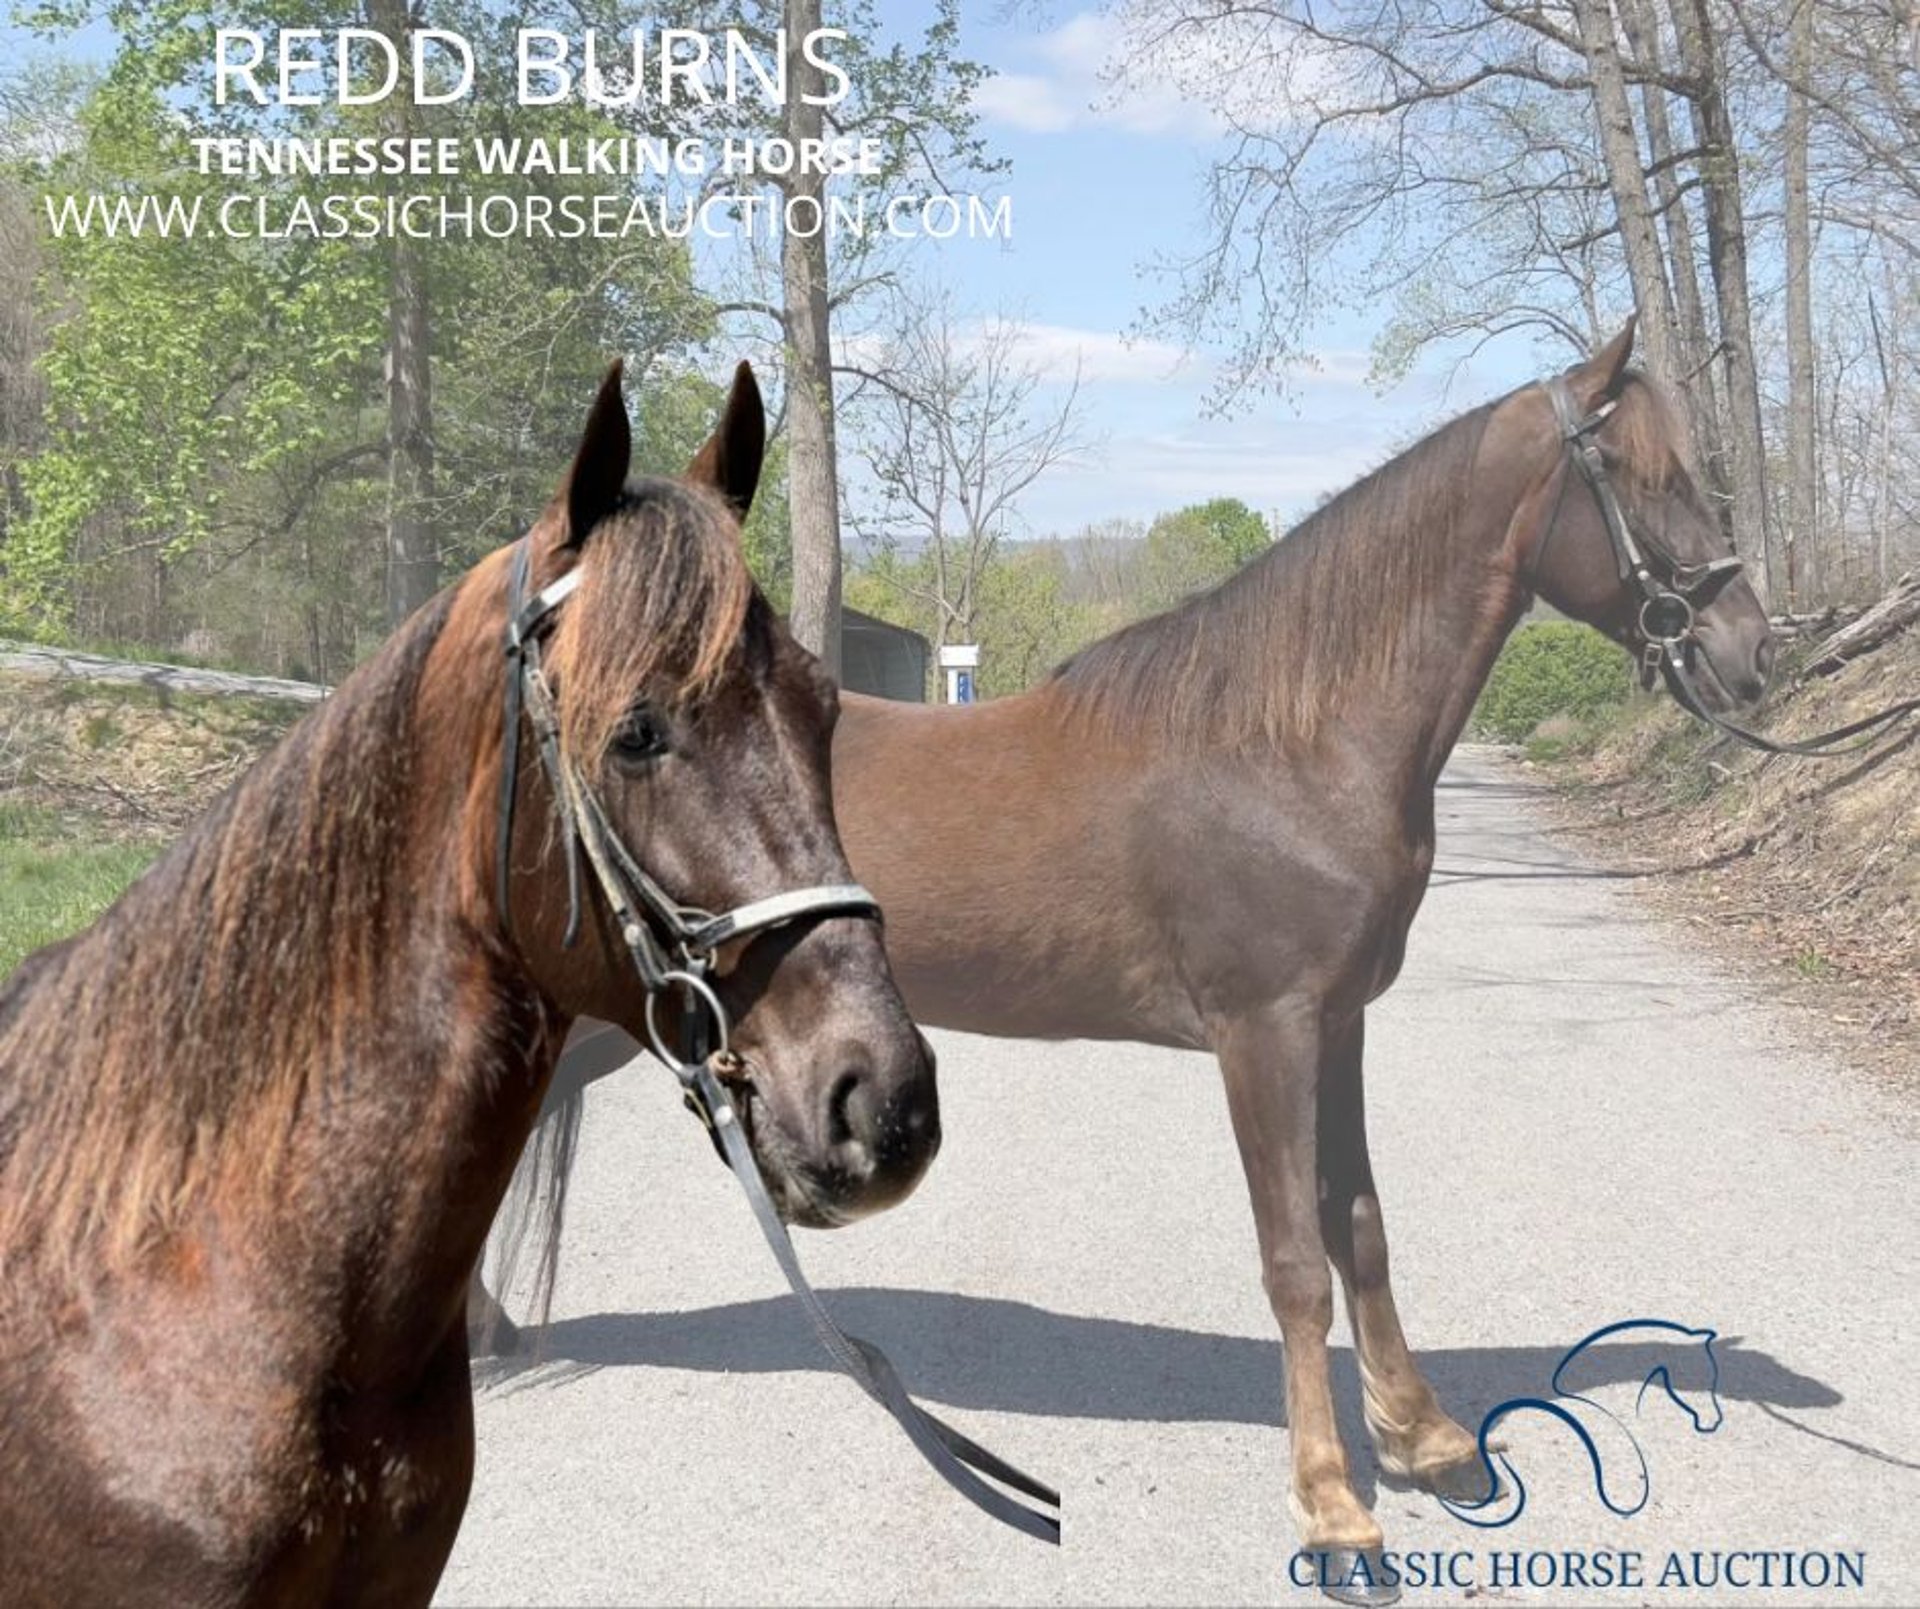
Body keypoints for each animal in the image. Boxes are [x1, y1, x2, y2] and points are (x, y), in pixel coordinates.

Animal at [505, 321, 1775, 1596]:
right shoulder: (1264, 1034)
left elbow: (1360, 1226)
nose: (1751, 650)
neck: (1289, 745)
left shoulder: (1341, 1022)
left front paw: (1426, 1440)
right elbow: (1296, 1262)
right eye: (1652, 479)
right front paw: (1335, 1512)